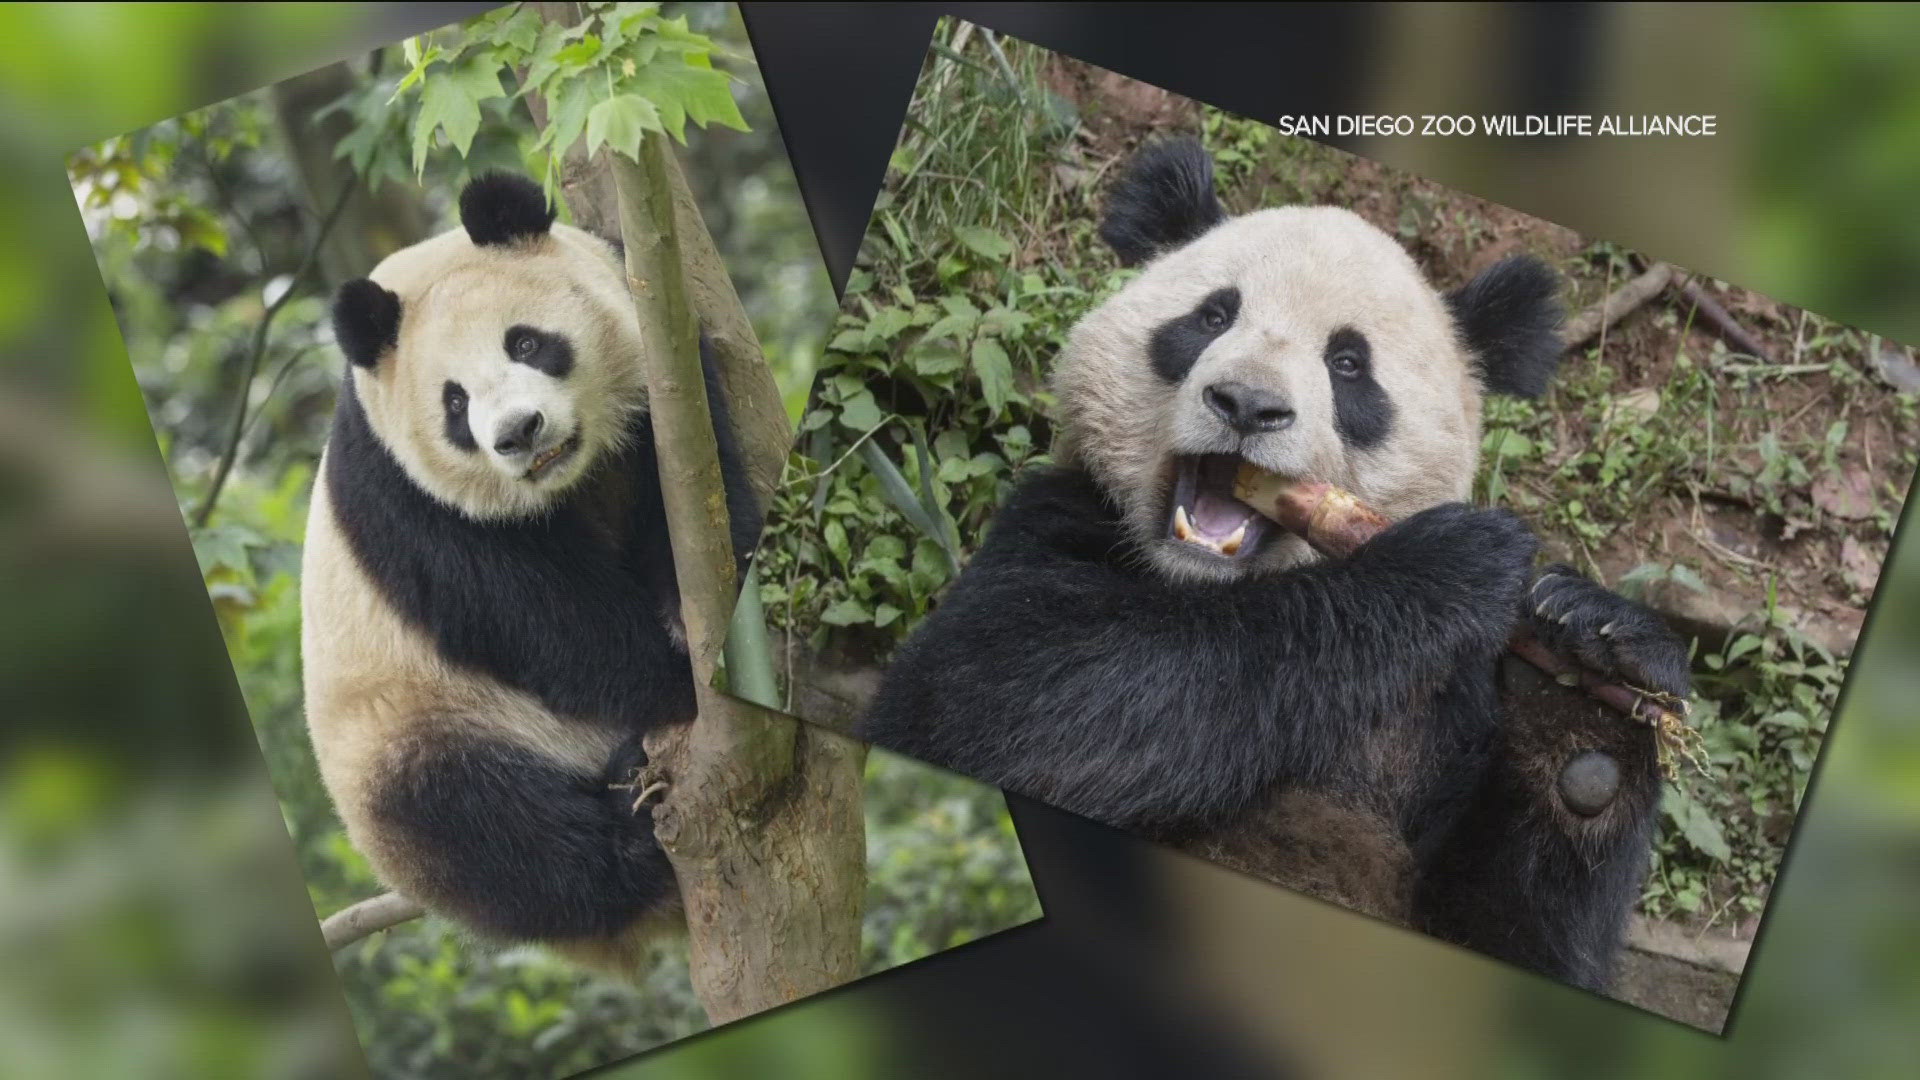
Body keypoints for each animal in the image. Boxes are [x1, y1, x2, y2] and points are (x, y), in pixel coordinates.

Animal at [301, 172, 760, 972]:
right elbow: (542, 617)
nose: (518, 433)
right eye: (454, 402)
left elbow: (699, 491)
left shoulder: (667, 365)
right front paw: (675, 682)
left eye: (527, 342)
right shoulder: (405, 497)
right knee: (479, 826)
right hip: (405, 731)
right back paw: (631, 824)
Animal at [860, 138, 1691, 991]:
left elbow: (1519, 939)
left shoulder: (1448, 711)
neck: (1211, 586)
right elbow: (1012, 697)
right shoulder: (1058, 520)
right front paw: (1446, 565)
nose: (1247, 407)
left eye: (1350, 364)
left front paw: (1589, 675)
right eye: (1212, 316)